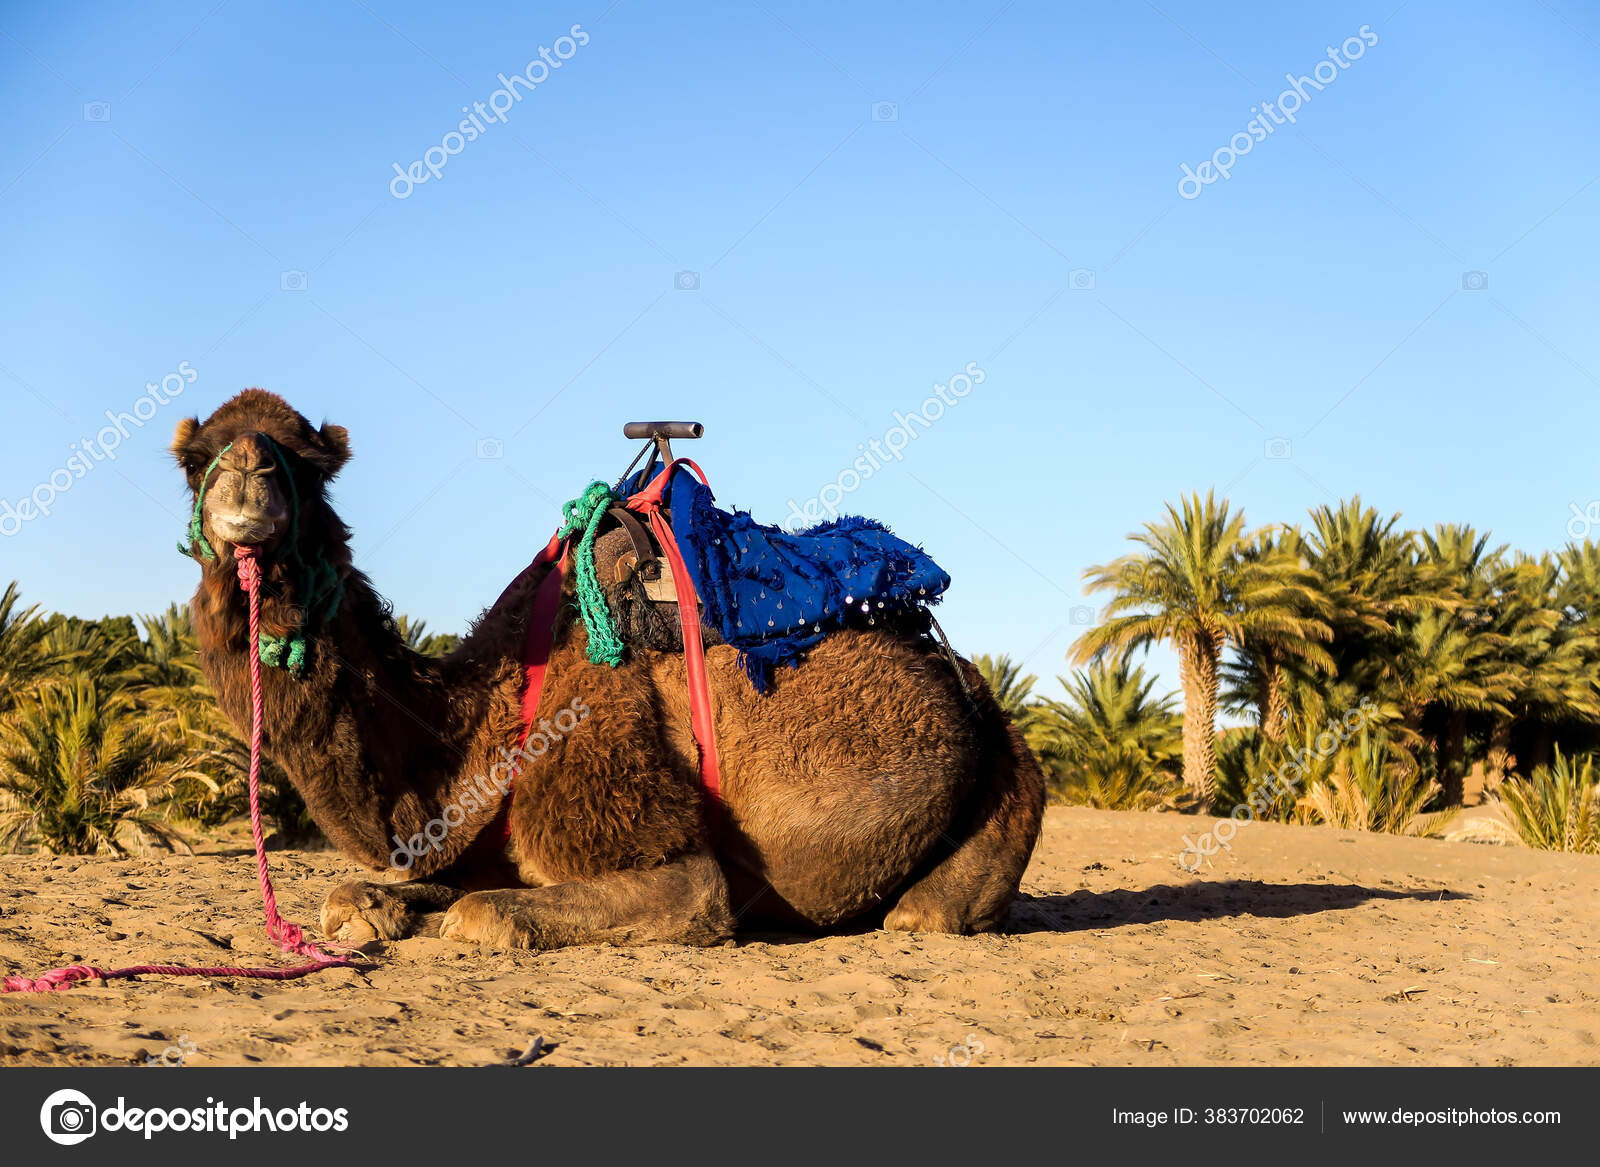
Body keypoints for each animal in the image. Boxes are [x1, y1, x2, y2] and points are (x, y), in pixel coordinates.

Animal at [173, 390, 1044, 951]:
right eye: (193, 461)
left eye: (308, 463)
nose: (245, 477)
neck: (479, 729)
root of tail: (964, 678)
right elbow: (354, 894)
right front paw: (371, 910)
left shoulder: (639, 813)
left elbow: (486, 913)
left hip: (1008, 782)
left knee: (924, 912)